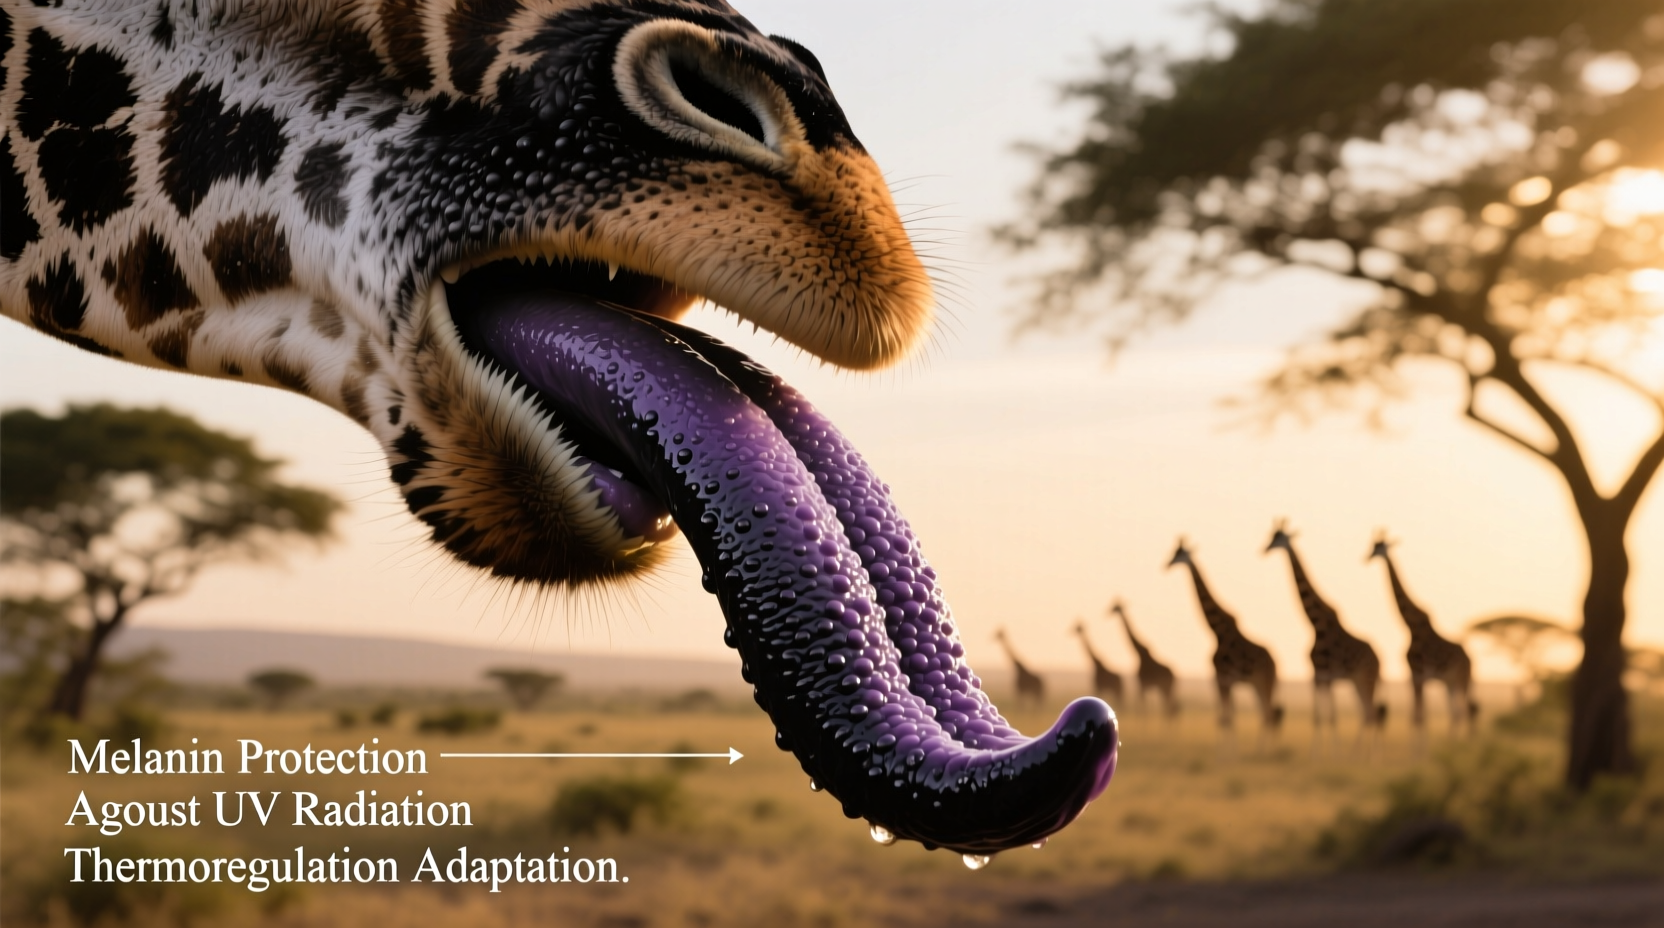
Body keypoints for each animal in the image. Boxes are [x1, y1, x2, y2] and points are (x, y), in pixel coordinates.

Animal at [1166, 540, 1283, 736]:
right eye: (1174, 552)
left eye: (1179, 554)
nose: (1167, 564)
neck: (1217, 631)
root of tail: (1275, 663)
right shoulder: (1225, 680)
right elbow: (1227, 719)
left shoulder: (1221, 676)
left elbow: (1226, 721)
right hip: (1257, 684)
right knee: (1267, 716)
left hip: (1264, 681)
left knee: (1268, 716)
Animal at [1265, 521, 1387, 743]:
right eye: (1271, 536)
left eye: (1279, 538)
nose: (1265, 548)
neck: (1314, 623)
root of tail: (1379, 659)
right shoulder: (1318, 675)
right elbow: (1320, 717)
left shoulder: (1325, 673)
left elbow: (1330, 717)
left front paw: (1330, 750)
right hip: (1358, 681)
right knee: (1370, 714)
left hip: (1365, 678)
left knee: (1372, 714)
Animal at [1370, 533, 1476, 737]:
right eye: (1372, 546)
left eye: (1380, 547)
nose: (1367, 557)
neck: (1410, 625)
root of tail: (1470, 659)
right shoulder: (1414, 675)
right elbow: (1417, 716)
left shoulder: (1417, 673)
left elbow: (1418, 717)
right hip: (1450, 682)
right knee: (1457, 713)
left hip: (1462, 679)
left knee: (1466, 711)